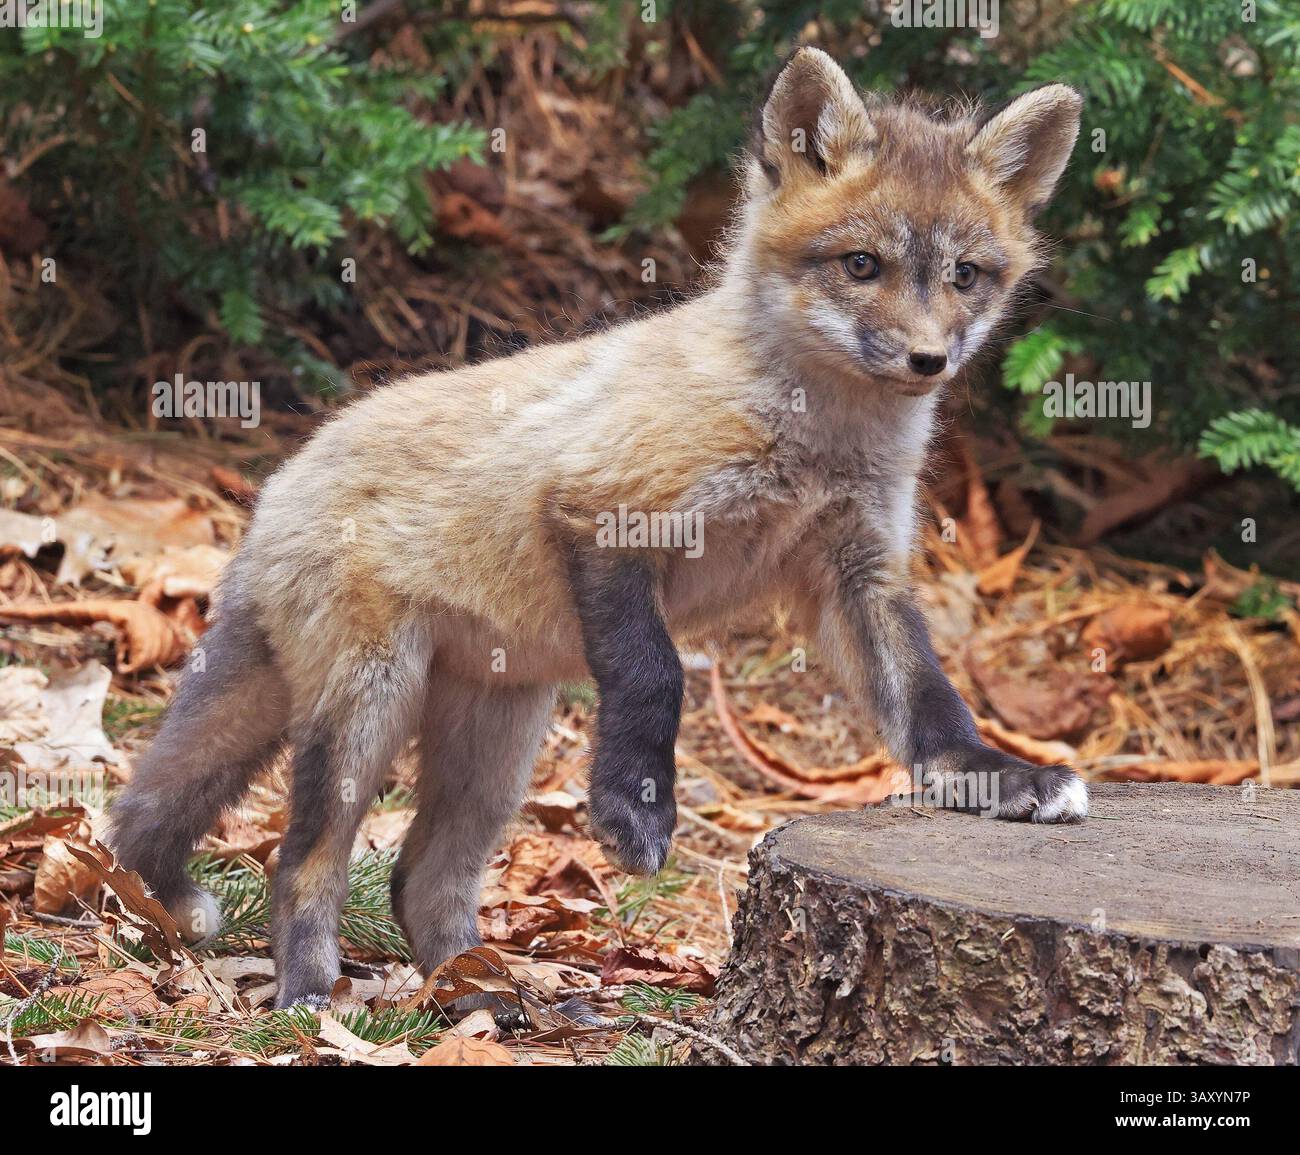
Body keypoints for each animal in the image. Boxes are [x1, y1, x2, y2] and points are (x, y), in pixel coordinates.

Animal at [109, 48, 1087, 1009]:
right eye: (861, 264)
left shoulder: (857, 567)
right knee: (302, 860)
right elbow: (654, 673)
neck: (814, 439)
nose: (930, 359)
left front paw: (988, 773)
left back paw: (481, 1000)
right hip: (369, 706)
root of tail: (275, 487)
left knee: (417, 877)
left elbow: (925, 695)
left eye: (964, 275)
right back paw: (312, 991)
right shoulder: (601, 510)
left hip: (495, 741)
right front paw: (637, 810)